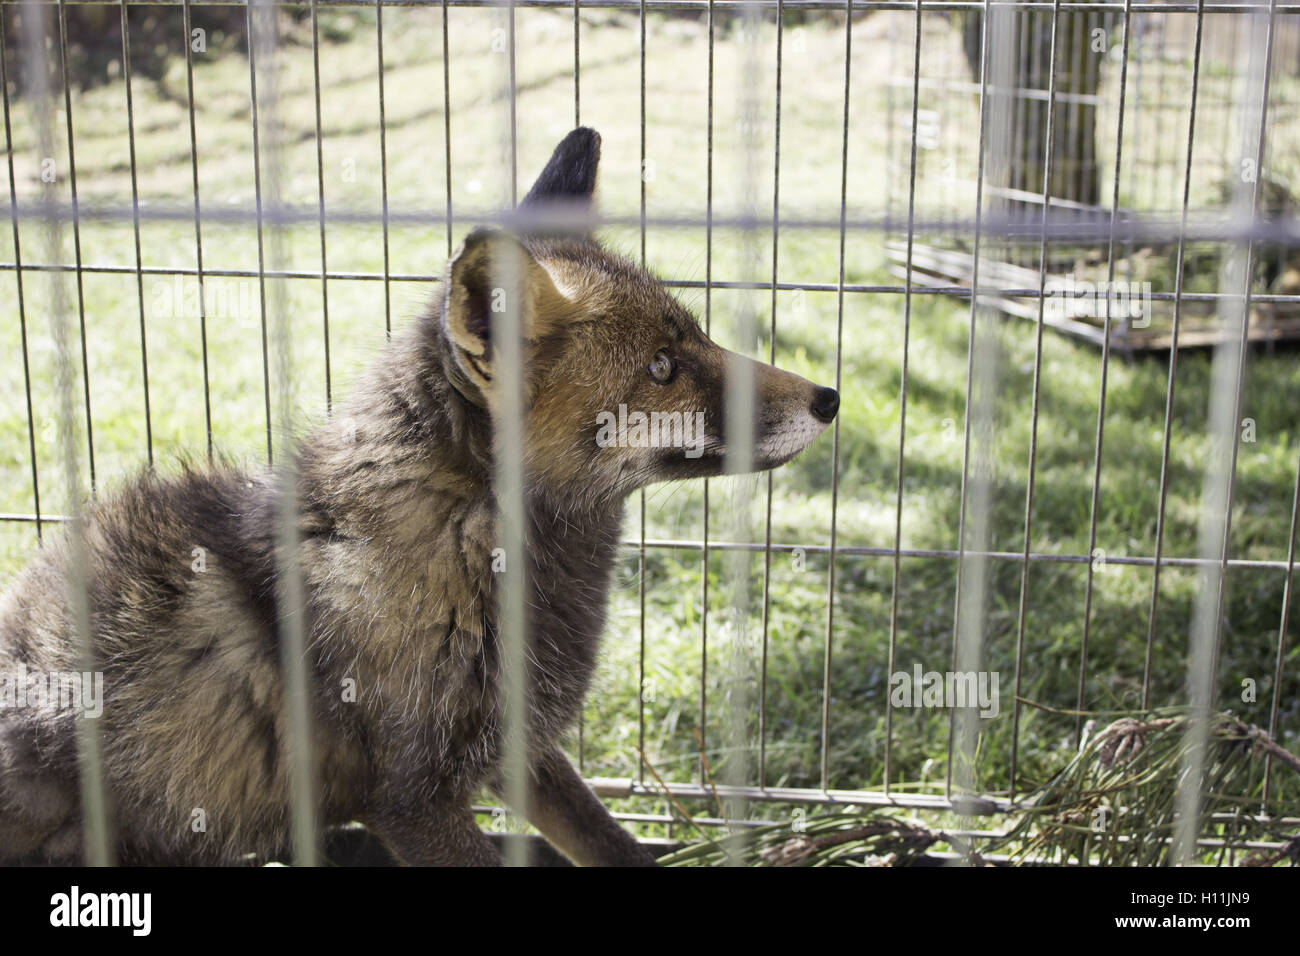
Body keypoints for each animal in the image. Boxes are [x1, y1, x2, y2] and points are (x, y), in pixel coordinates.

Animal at [0, 128, 839, 866]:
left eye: (697, 336)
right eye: (663, 366)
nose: (828, 398)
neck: (466, 544)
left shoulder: (519, 748)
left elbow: (616, 847)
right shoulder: (411, 801)